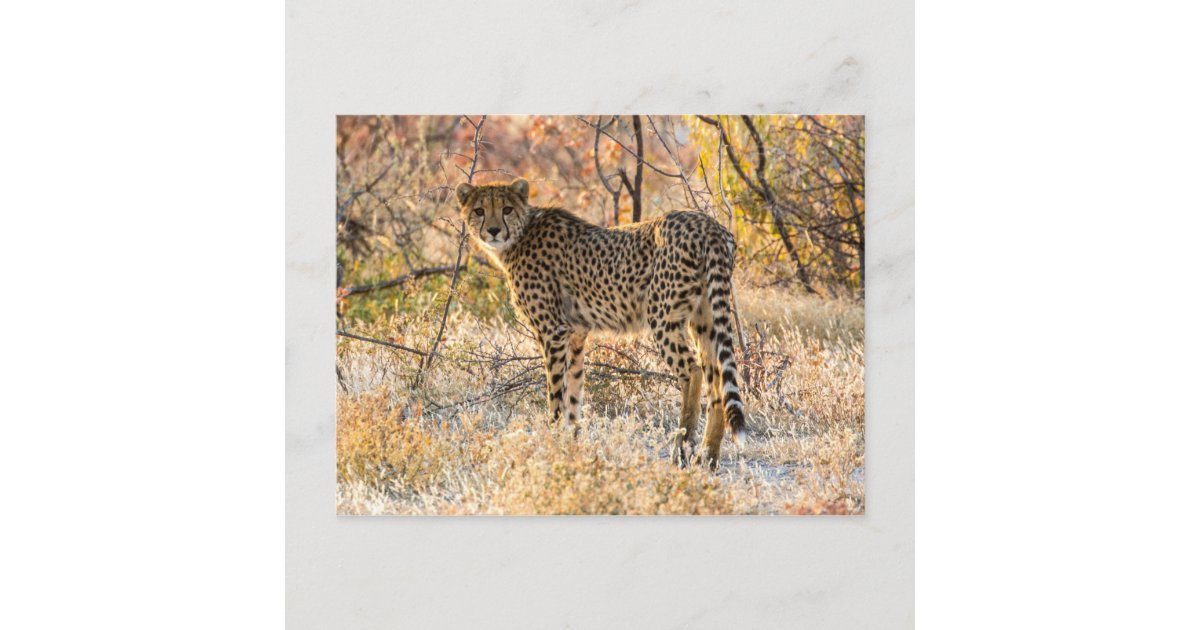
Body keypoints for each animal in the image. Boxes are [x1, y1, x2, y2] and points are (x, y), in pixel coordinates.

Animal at [456, 178, 747, 467]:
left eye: (506, 209)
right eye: (479, 210)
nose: (493, 230)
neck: (521, 234)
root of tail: (706, 223)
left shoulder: (553, 331)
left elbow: (555, 394)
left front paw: (552, 441)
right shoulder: (575, 333)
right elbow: (573, 391)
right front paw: (572, 445)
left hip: (662, 316)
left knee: (693, 371)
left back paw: (682, 449)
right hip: (704, 318)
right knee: (717, 379)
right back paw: (708, 457)